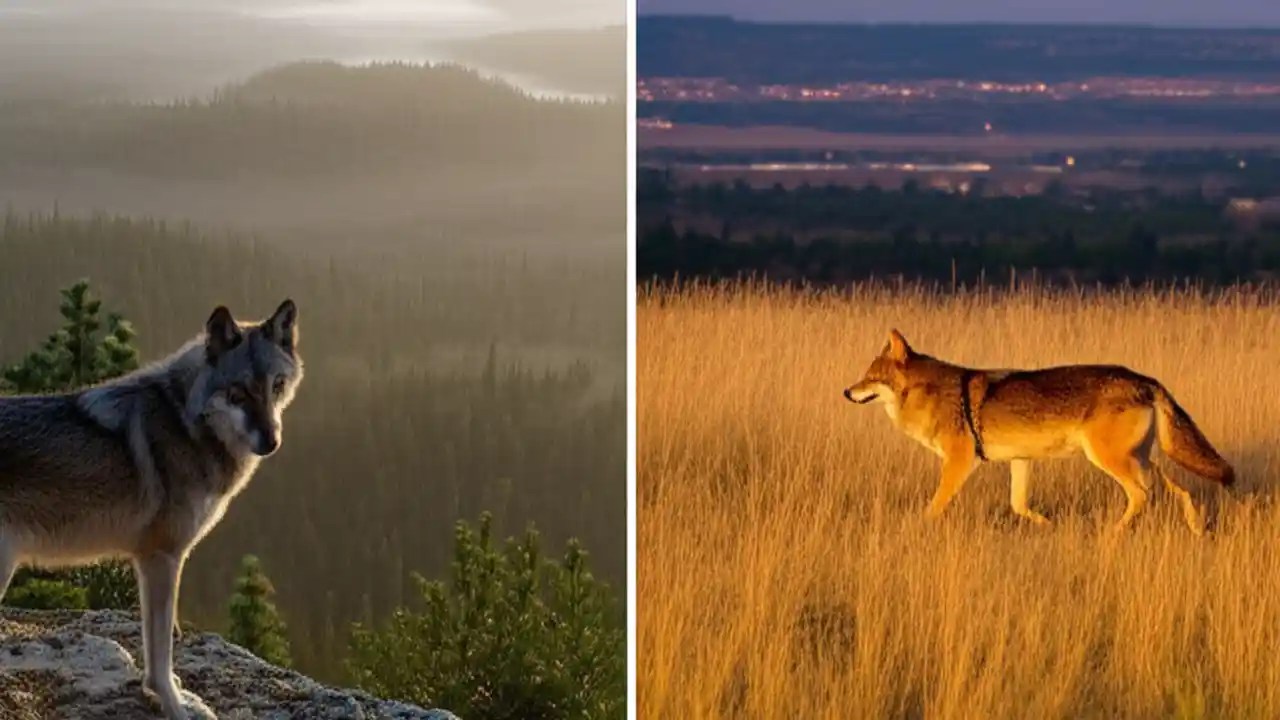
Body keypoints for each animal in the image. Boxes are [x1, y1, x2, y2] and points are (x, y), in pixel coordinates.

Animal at [0, 300, 303, 719]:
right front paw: (174, 703)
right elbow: (161, 651)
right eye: (238, 392)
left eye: (276, 386)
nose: (272, 441)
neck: (186, 422)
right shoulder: (162, 557)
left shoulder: (149, 562)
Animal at [843, 330, 1233, 535]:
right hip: (1141, 460)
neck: (931, 393)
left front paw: (918, 529)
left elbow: (934, 506)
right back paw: (1196, 528)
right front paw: (1048, 526)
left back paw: (1112, 535)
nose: (847, 392)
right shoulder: (1021, 460)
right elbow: (1020, 506)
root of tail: (1145, 379)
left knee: (1142, 496)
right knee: (1179, 490)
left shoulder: (960, 462)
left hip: (1112, 461)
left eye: (870, 378)